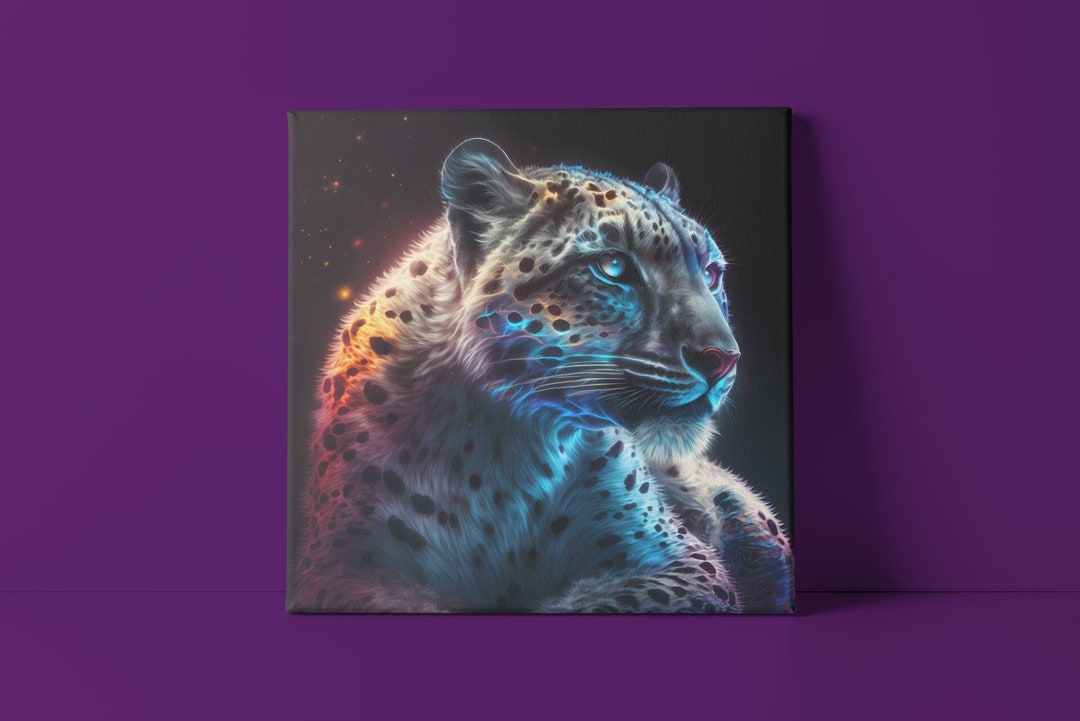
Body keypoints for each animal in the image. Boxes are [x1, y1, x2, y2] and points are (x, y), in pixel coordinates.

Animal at [287, 138, 794, 613]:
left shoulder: (679, 557)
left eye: (711, 273)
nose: (723, 358)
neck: (499, 455)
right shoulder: (342, 566)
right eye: (613, 266)